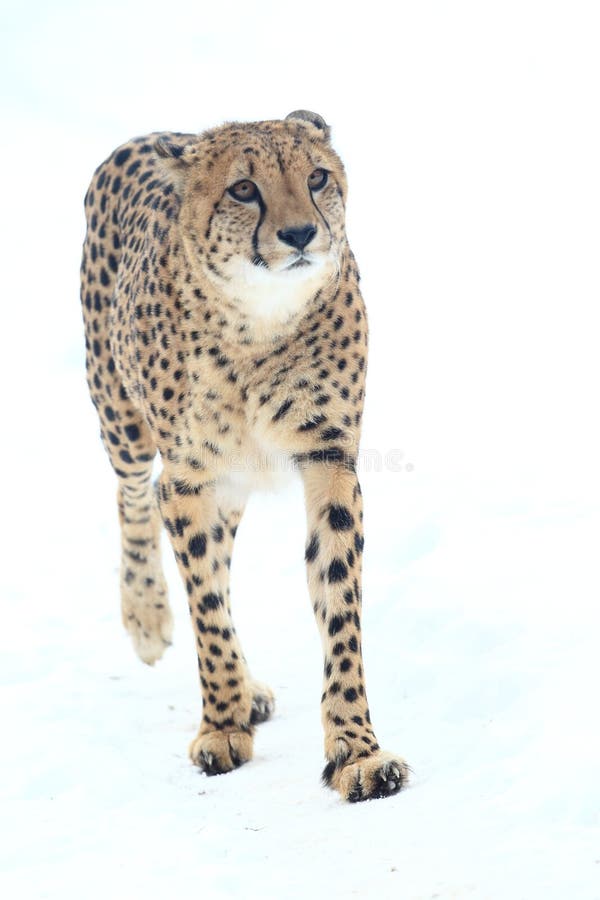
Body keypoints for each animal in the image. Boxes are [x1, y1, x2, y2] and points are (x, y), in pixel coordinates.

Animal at [80, 109, 409, 802]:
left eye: (317, 177)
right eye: (242, 190)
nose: (301, 232)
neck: (261, 320)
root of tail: (153, 132)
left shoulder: (329, 462)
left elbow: (337, 602)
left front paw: (356, 750)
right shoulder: (188, 476)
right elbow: (205, 605)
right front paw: (222, 724)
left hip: (228, 483)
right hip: (122, 417)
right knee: (133, 497)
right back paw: (147, 618)